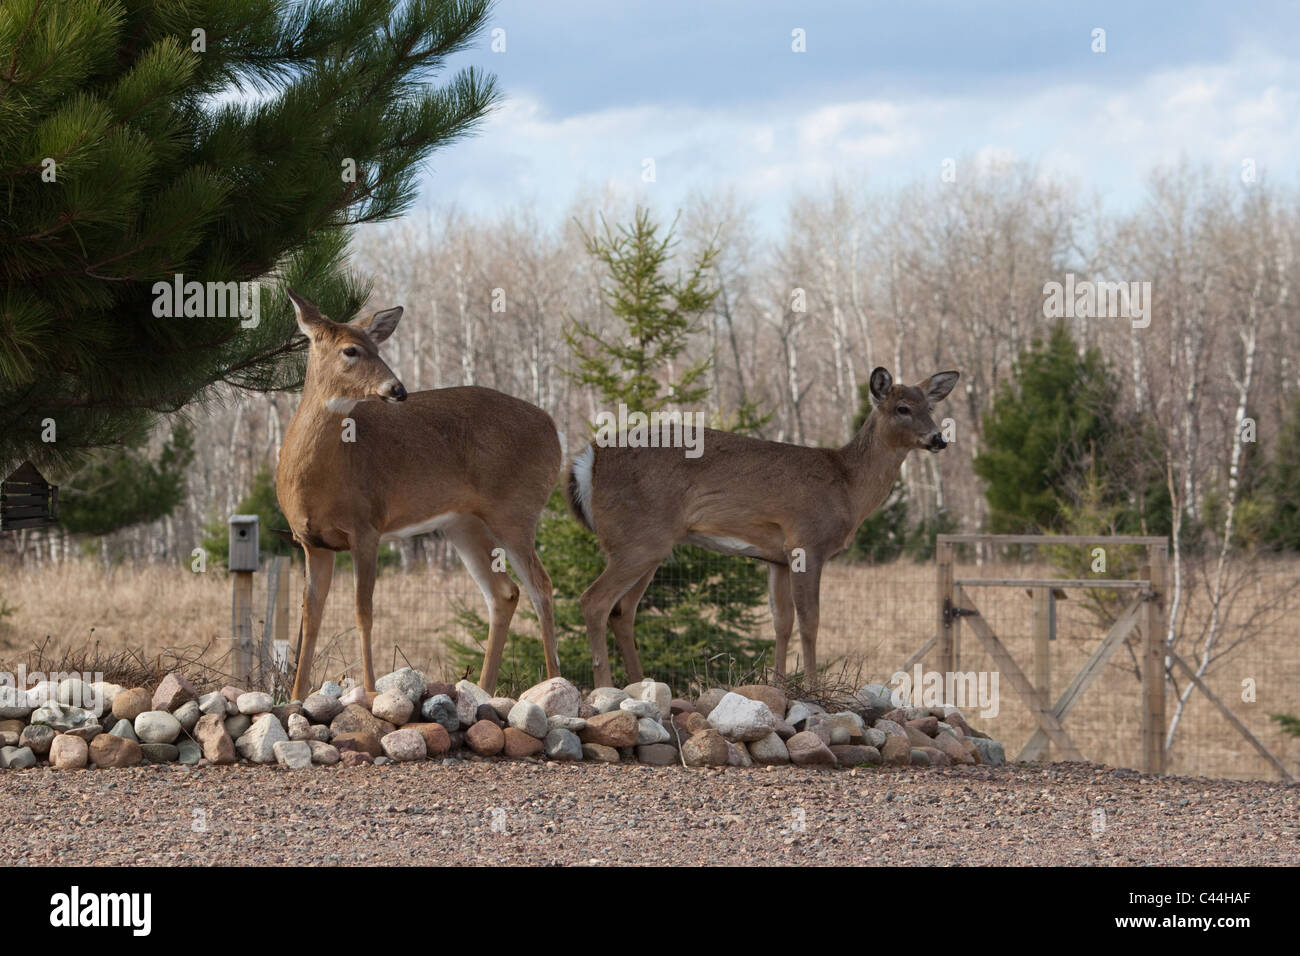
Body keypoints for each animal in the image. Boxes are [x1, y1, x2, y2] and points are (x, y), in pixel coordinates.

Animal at [276, 290, 563, 701]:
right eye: (351, 350)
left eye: (377, 347)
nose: (398, 389)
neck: (320, 476)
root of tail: (554, 428)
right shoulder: (311, 541)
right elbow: (310, 616)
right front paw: (297, 697)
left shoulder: (367, 527)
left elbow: (363, 611)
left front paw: (370, 691)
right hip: (463, 524)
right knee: (504, 592)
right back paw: (483, 688)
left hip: (516, 510)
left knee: (541, 586)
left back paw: (556, 682)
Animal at [565, 366, 959, 689]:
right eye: (902, 408)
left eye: (930, 407)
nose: (939, 439)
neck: (847, 486)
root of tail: (588, 460)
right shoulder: (806, 542)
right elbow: (810, 621)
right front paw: (813, 687)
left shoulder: (776, 558)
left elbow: (781, 622)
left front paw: (779, 684)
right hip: (638, 539)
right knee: (594, 601)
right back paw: (604, 686)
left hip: (648, 546)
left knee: (622, 611)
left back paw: (638, 682)